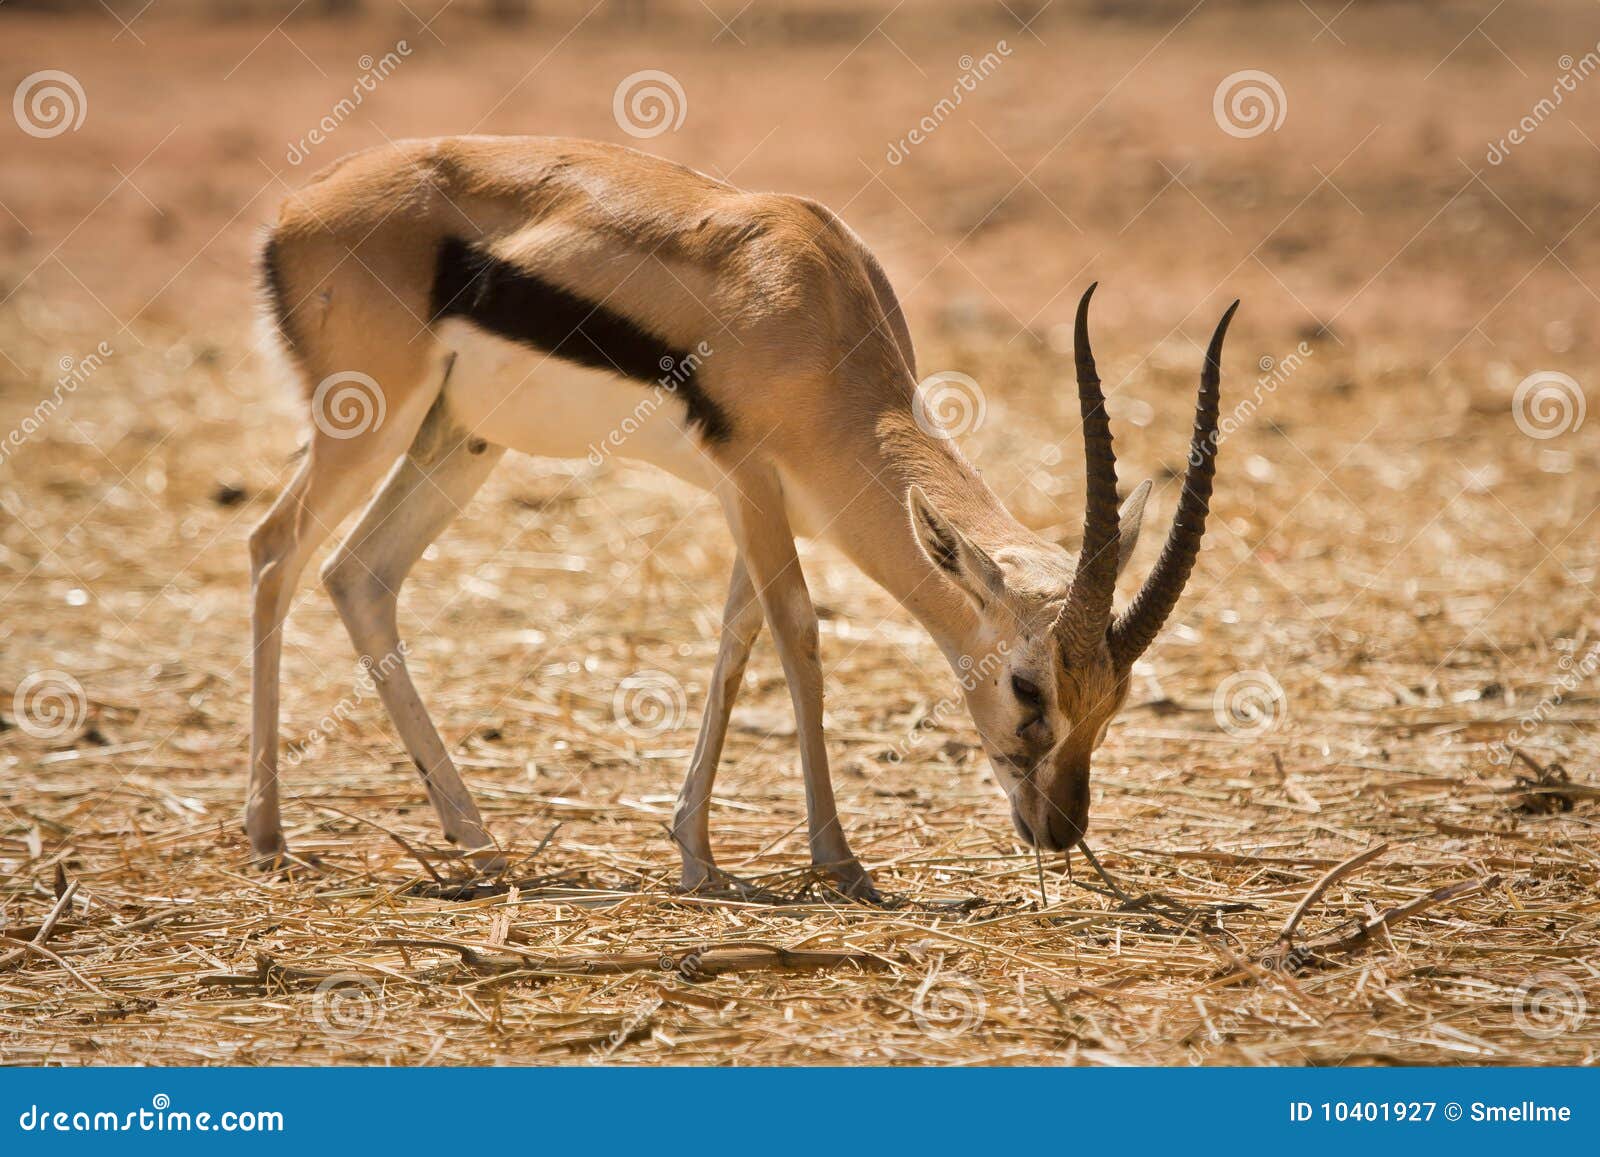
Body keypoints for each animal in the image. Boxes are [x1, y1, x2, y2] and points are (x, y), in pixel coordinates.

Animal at [249, 136, 1235, 900]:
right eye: (1030, 687)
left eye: (1115, 697)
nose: (1058, 828)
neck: (809, 300)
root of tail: (294, 210)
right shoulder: (750, 480)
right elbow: (798, 636)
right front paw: (839, 864)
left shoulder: (764, 502)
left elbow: (737, 638)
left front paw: (695, 853)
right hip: (369, 419)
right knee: (276, 548)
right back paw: (269, 836)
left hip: (459, 438)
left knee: (359, 574)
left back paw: (480, 844)